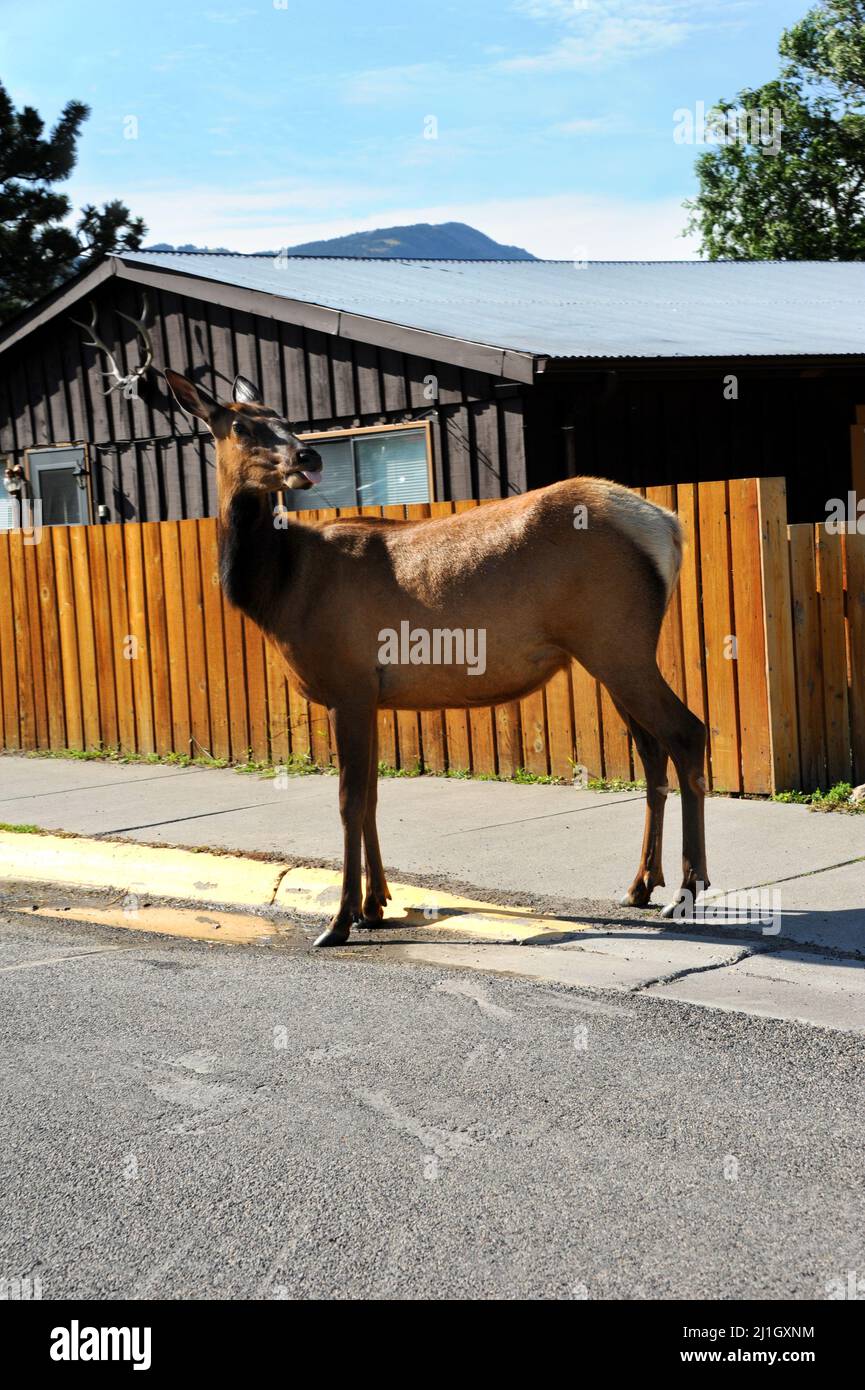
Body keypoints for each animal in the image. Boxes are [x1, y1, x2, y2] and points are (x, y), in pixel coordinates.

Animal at [165, 369, 709, 948]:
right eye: (243, 426)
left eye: (283, 420)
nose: (308, 456)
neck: (277, 588)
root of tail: (668, 527)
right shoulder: (370, 694)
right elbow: (371, 797)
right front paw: (375, 904)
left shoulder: (346, 684)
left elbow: (348, 801)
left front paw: (339, 920)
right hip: (611, 653)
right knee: (651, 751)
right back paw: (641, 885)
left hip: (618, 642)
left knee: (687, 731)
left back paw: (688, 889)